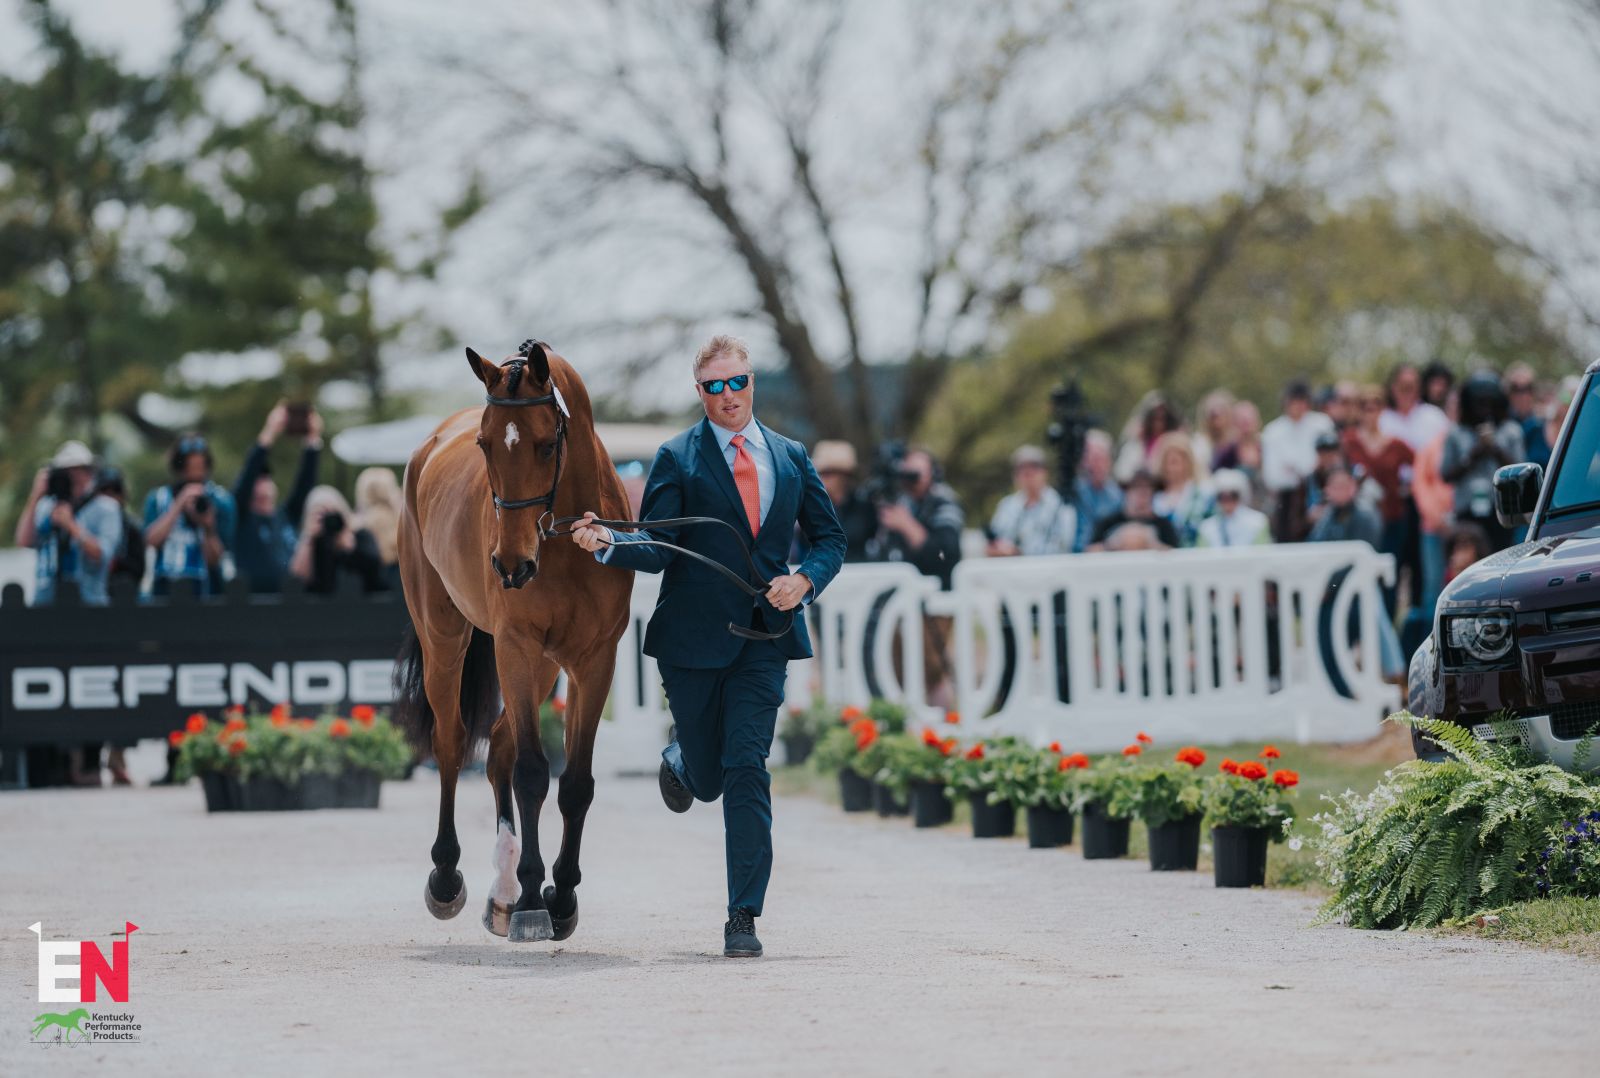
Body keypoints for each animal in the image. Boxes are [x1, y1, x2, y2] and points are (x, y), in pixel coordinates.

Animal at [395, 339, 632, 943]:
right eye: (484, 444)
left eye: (548, 445)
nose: (509, 564)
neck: (566, 544)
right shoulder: (516, 647)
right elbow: (531, 772)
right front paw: (532, 899)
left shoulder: (593, 661)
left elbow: (575, 782)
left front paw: (560, 896)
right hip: (446, 639)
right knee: (454, 742)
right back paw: (450, 879)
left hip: (545, 666)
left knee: (498, 746)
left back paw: (501, 892)